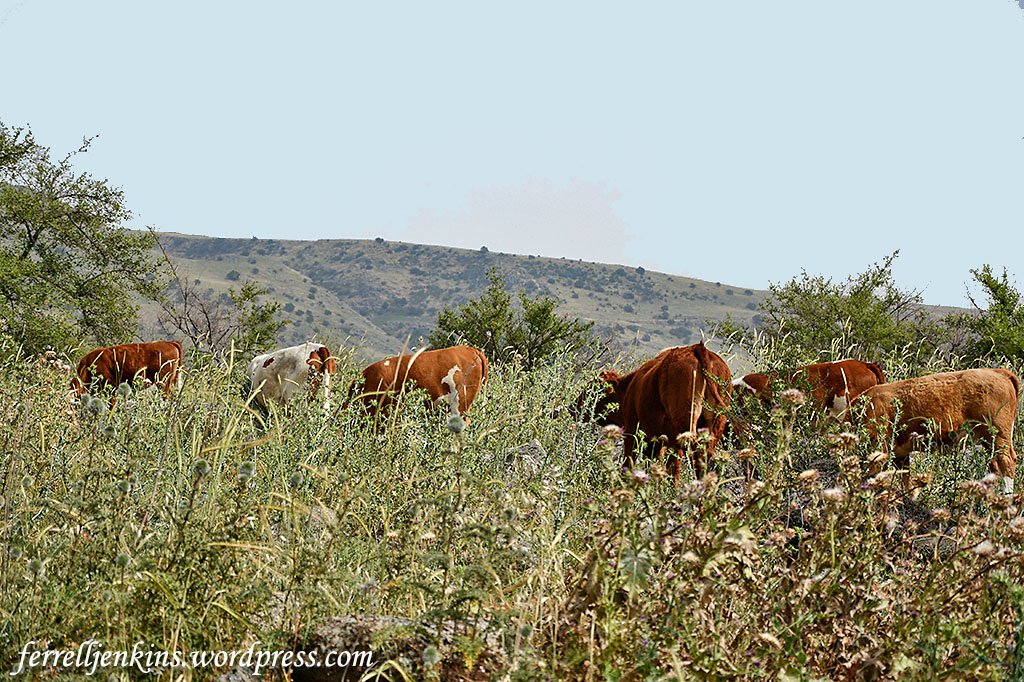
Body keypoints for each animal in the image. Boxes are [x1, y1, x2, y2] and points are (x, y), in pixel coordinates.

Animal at [591, 342, 732, 481]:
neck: (630, 387)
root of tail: (697, 348)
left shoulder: (632, 431)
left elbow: (629, 462)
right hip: (714, 423)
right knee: (703, 454)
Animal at [858, 368, 1019, 494]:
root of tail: (999, 371)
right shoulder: (901, 454)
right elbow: (905, 479)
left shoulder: (879, 447)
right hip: (987, 438)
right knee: (995, 465)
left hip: (998, 433)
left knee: (1006, 461)